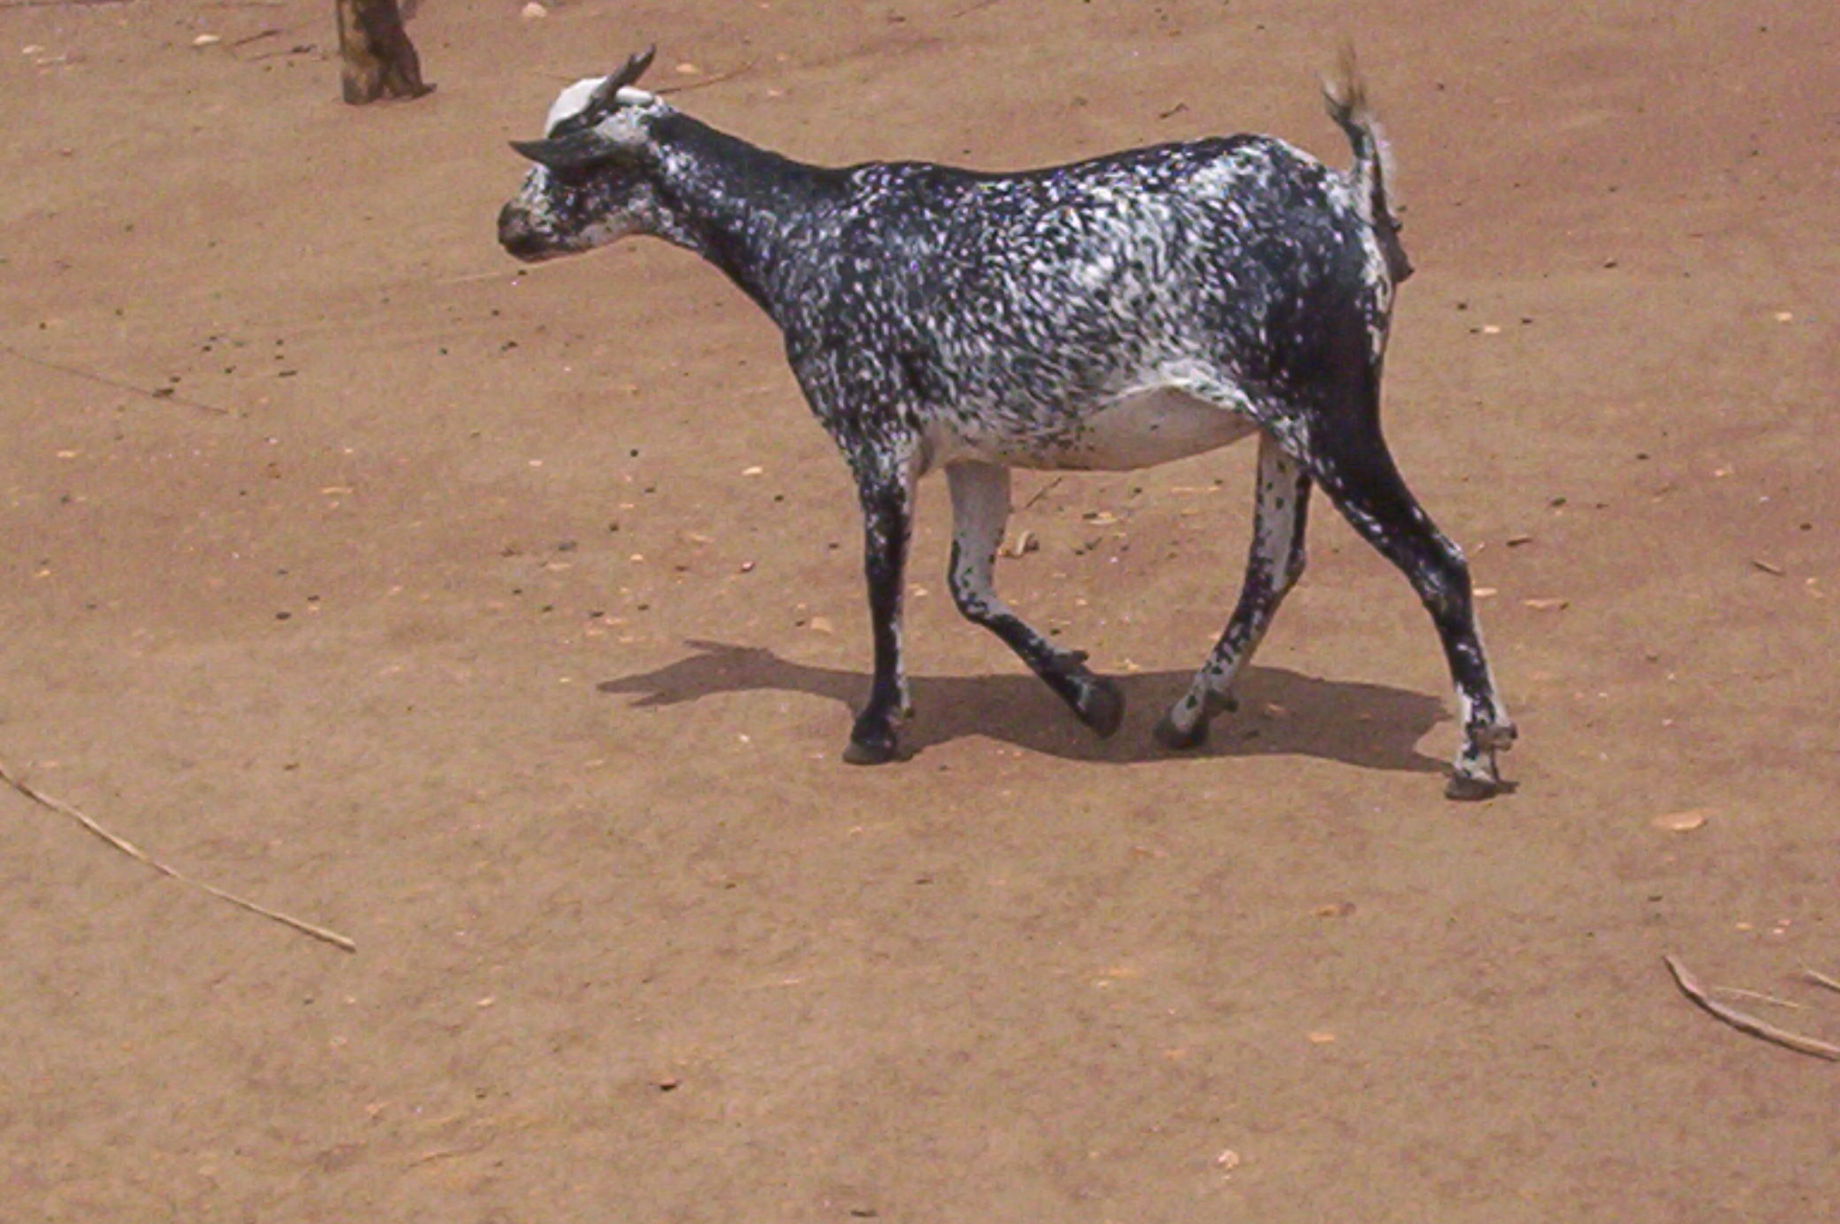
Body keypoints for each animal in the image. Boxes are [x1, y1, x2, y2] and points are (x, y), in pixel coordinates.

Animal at [498, 47, 1516, 798]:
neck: (807, 233)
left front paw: (877, 726)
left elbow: (883, 583)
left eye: (566, 164)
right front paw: (1092, 697)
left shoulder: (876, 443)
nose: (508, 226)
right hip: (1284, 431)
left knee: (1436, 561)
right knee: (1272, 570)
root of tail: (1347, 192)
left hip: (1329, 412)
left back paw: (1475, 752)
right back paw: (1186, 715)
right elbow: (968, 588)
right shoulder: (972, 456)